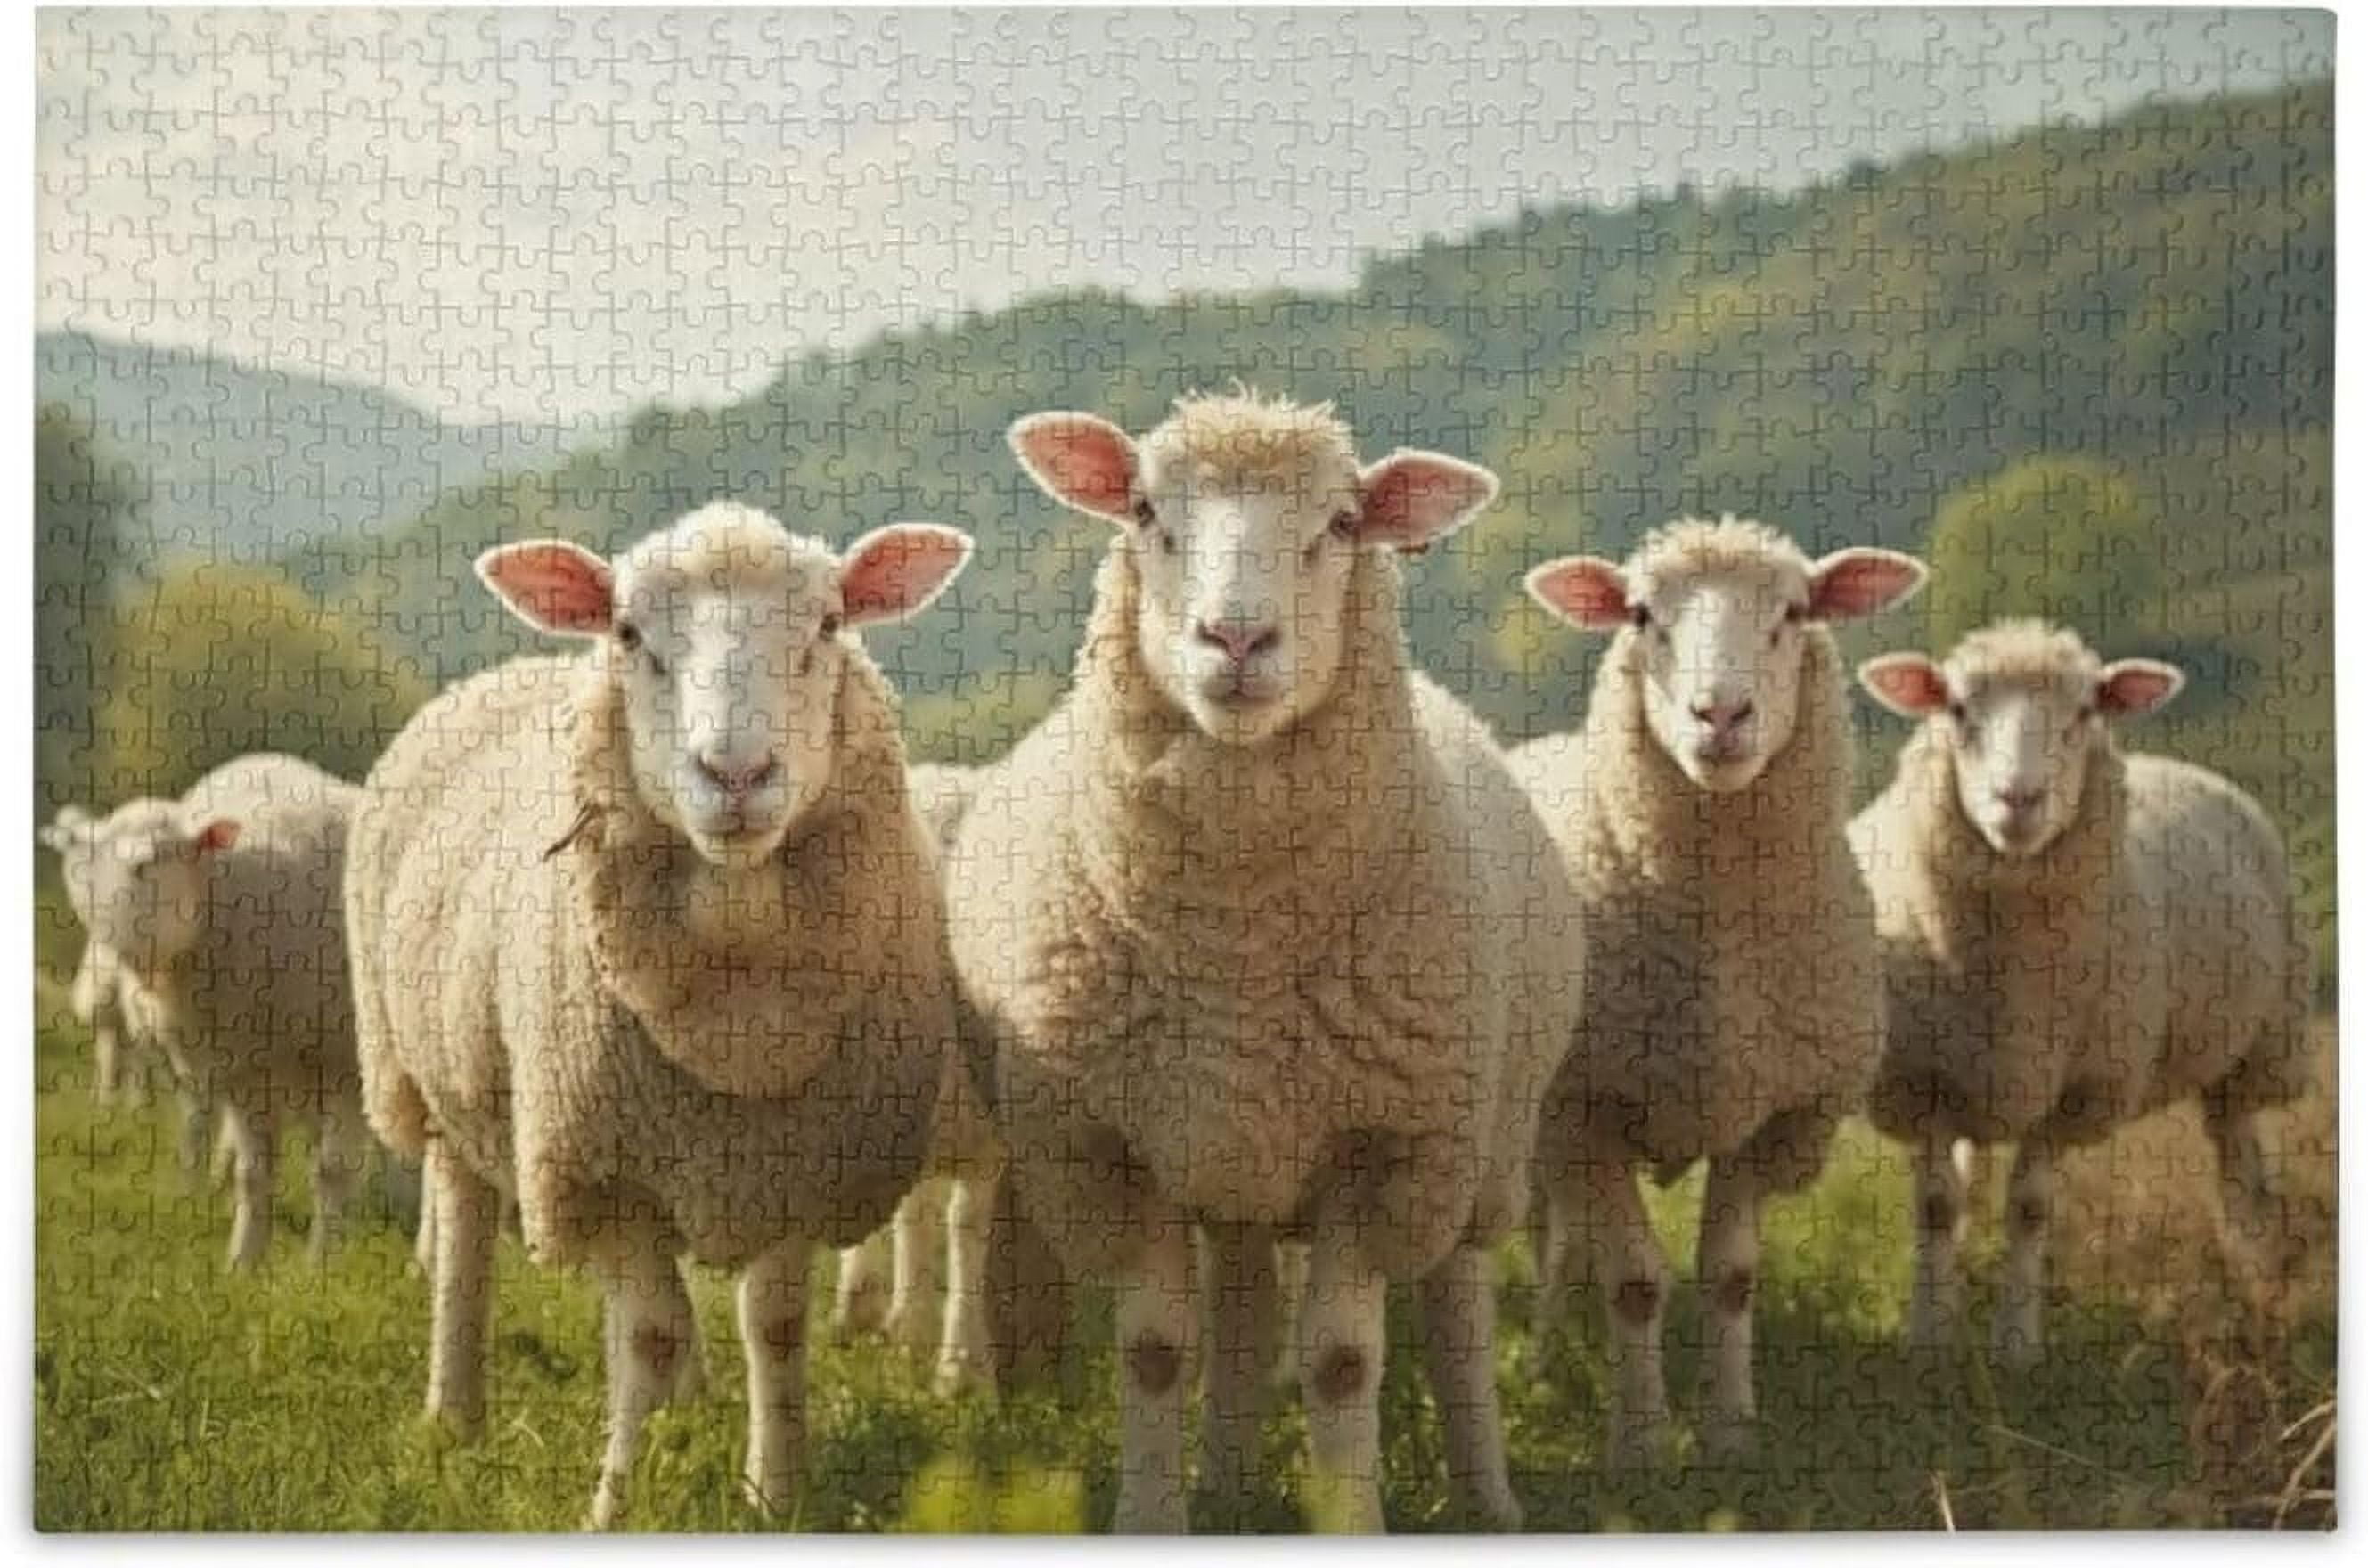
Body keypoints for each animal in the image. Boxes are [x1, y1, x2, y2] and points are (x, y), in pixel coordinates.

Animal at [38, 754, 369, 1269]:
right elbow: (253, 1174)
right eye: (87, 866)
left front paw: (321, 1266)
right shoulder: (242, 1070)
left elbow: (332, 1171)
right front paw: (243, 1262)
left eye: (146, 864)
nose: (107, 954)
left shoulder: (345, 1068)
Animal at [346, 503, 973, 1527]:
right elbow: (645, 1335)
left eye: (829, 624)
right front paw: (618, 1500)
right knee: (466, 1242)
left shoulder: (792, 1159)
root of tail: (507, 667)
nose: (736, 772)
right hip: (438, 1087)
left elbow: (773, 1326)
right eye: (631, 634)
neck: (736, 1020)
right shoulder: (607, 1171)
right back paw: (456, 1412)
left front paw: (772, 1492)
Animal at [949, 390, 1584, 1532]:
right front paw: (1152, 1515)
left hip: (1476, 1154)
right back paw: (1228, 1480)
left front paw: (1352, 1514)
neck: (1236, 948)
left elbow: (1339, 1363)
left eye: (1342, 522)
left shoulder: (1388, 1150)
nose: (1237, 637)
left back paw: (1490, 1494)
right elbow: (1159, 1351)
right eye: (1146, 511)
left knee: (1459, 1308)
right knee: (1244, 1304)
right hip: (1239, 1153)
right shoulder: (1110, 1147)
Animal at [1516, 517, 1926, 1463]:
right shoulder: (1585, 1111)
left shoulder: (1770, 1109)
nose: (1721, 715)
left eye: (1795, 612)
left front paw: (1732, 1428)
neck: (1720, 949)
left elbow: (1731, 1277)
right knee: (1552, 1237)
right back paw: (1548, 1358)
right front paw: (1639, 1440)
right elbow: (1633, 1281)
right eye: (1640, 615)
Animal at [1850, 620, 2311, 1364]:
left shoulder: (2074, 1088)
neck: (2009, 964)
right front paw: (1930, 1336)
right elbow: (1937, 1208)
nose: (2019, 799)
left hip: (2252, 1053)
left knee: (2242, 1172)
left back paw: (2255, 1284)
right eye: (1957, 709)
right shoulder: (1925, 1081)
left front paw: (2016, 1344)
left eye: (2084, 712)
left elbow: (2031, 1208)